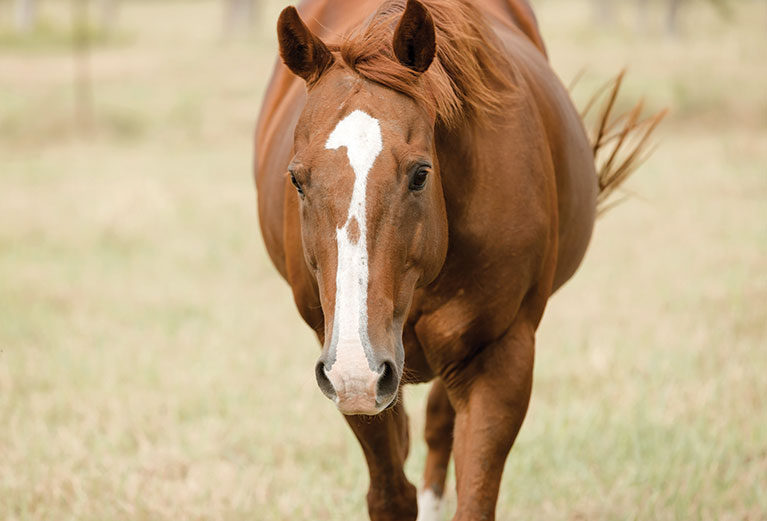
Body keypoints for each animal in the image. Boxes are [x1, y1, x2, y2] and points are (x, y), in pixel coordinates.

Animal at [254, 1, 661, 519]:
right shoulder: (349, 374)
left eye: (420, 174)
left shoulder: (498, 357)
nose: (358, 363)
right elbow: (390, 492)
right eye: (297, 180)